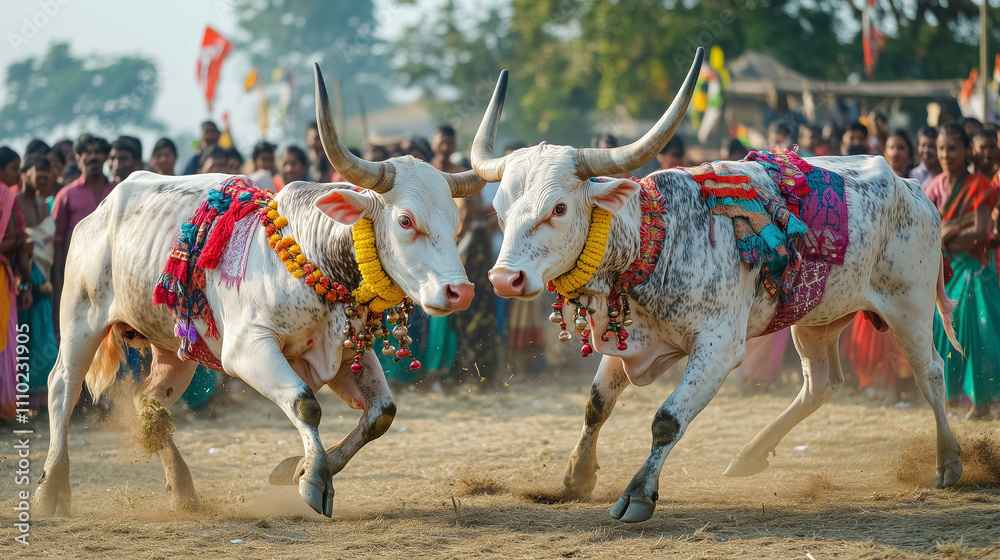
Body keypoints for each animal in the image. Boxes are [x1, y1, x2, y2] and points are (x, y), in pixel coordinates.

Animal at [35, 64, 486, 519]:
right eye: (405, 220)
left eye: (454, 220)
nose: (460, 291)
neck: (312, 256)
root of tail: (101, 209)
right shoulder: (246, 348)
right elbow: (306, 403)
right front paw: (314, 479)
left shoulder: (344, 354)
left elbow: (381, 414)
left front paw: (296, 468)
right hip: (80, 321)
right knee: (62, 387)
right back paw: (51, 490)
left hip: (175, 345)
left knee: (150, 405)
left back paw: (182, 489)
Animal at [468, 48, 964, 523]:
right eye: (500, 210)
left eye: (558, 208)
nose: (504, 278)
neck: (656, 239)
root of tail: (912, 186)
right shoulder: (627, 338)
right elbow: (597, 404)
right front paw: (577, 476)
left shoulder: (719, 347)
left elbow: (667, 420)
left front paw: (638, 494)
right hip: (815, 318)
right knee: (820, 384)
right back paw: (750, 455)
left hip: (909, 309)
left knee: (931, 372)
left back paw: (949, 462)